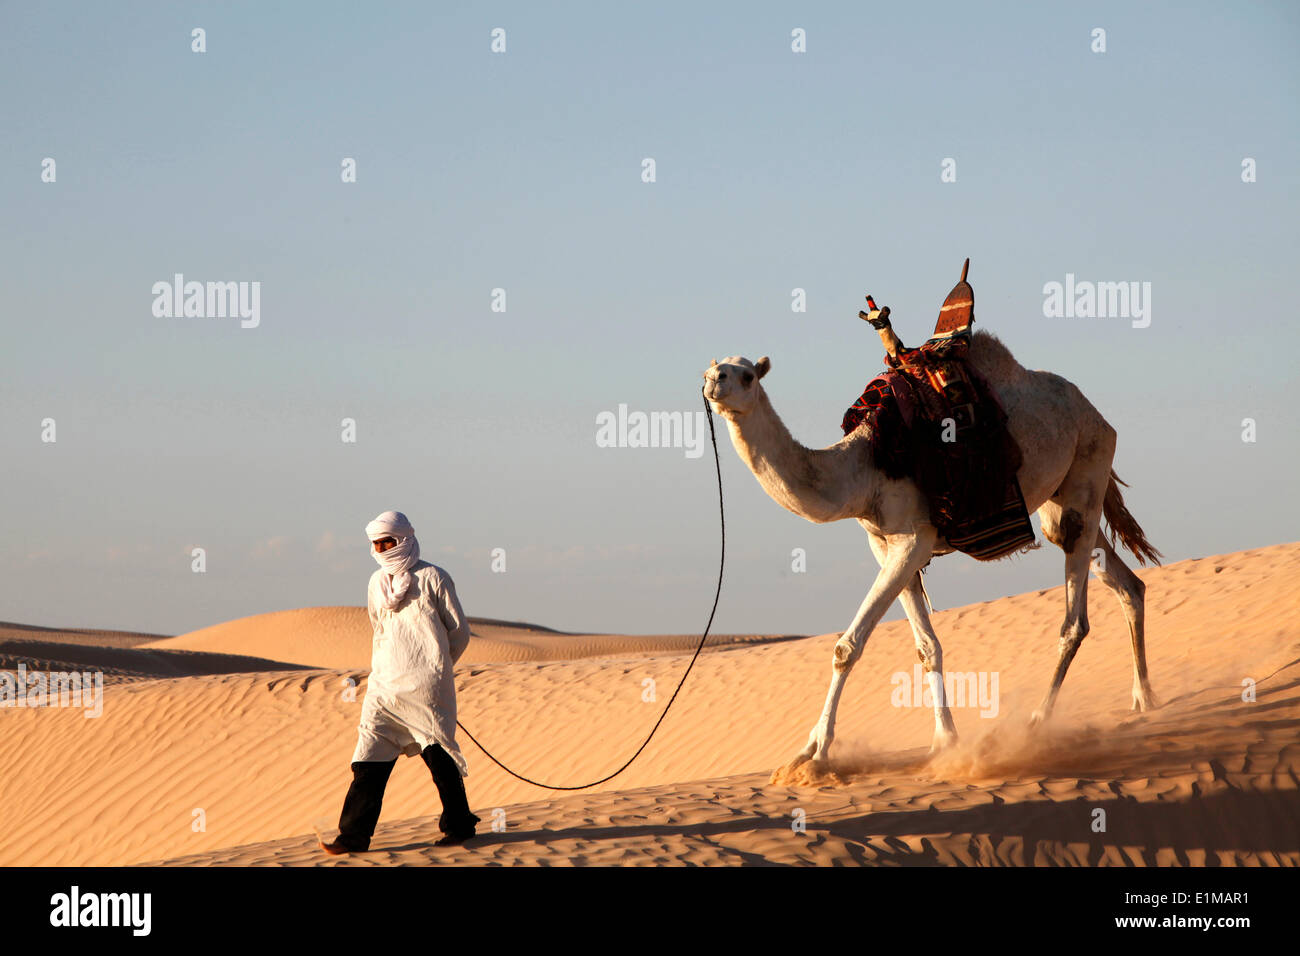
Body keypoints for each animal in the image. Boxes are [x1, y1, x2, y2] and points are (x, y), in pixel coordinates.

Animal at [702, 329, 1162, 772]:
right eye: (716, 365)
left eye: (747, 375)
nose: (712, 380)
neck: (865, 466)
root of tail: (1095, 412)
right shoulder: (883, 543)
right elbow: (927, 647)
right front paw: (945, 740)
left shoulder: (912, 538)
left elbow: (845, 648)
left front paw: (813, 753)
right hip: (1059, 499)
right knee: (1122, 580)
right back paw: (1143, 698)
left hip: (1089, 460)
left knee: (1075, 621)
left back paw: (1038, 722)